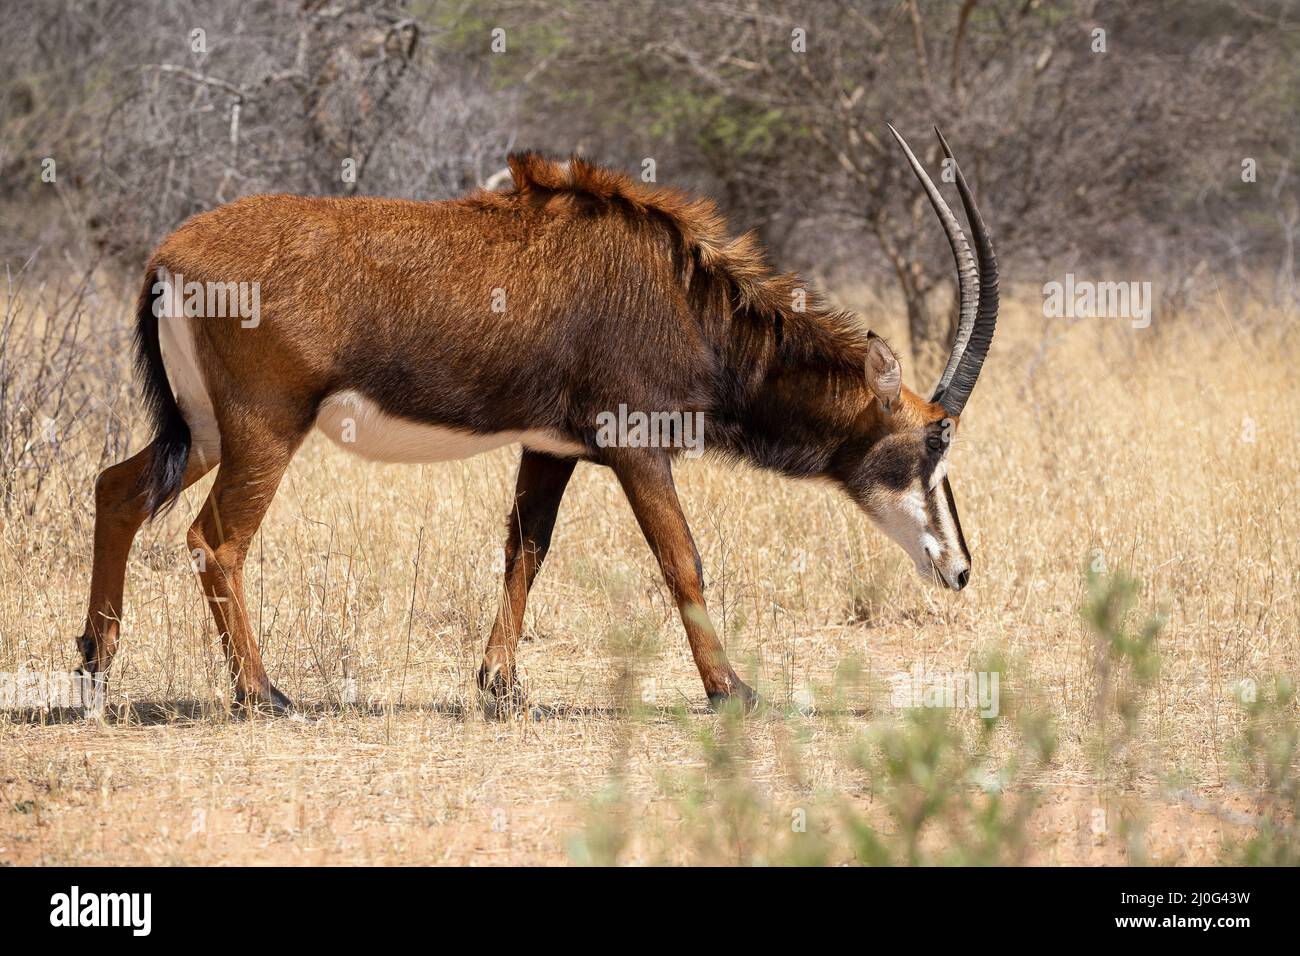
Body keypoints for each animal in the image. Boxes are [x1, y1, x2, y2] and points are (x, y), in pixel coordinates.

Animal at [76, 125, 996, 714]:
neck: (685, 296)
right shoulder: (635, 445)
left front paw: (499, 683)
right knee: (216, 539)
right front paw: (732, 691)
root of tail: (169, 255)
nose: (959, 570)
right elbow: (683, 560)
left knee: (118, 489)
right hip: (264, 428)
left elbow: (526, 548)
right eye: (934, 442)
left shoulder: (549, 448)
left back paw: (94, 664)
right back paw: (262, 693)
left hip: (203, 431)